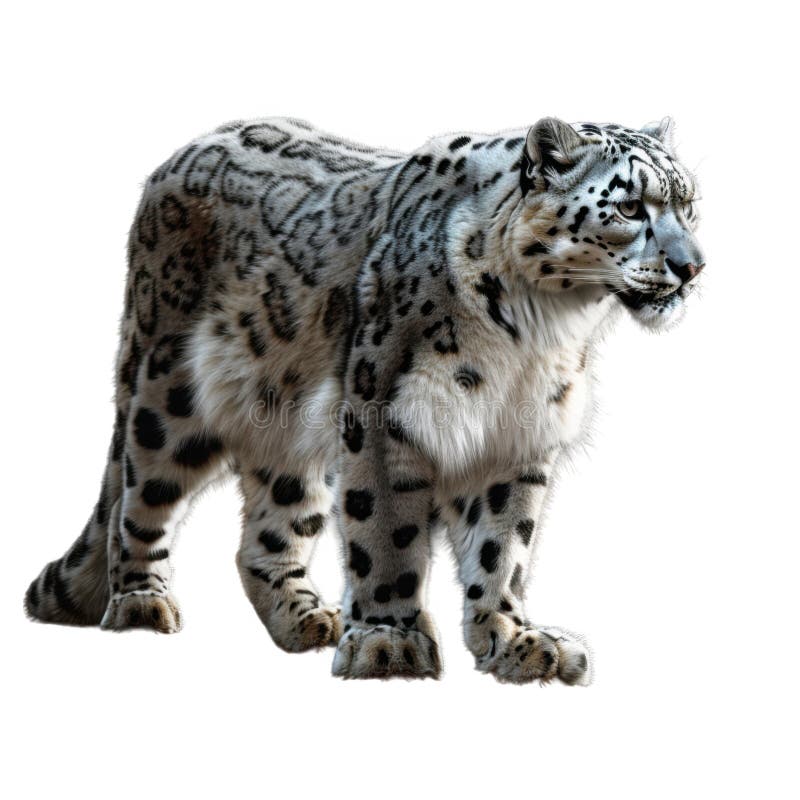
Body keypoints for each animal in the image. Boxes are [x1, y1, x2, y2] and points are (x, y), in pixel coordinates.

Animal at [24, 115, 703, 683]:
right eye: (629, 205)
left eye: (689, 204)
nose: (692, 266)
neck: (541, 331)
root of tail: (174, 160)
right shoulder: (388, 417)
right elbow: (387, 533)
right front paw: (388, 641)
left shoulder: (517, 440)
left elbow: (504, 547)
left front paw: (516, 640)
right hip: (169, 397)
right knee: (138, 499)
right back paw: (142, 603)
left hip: (288, 428)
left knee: (267, 532)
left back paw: (307, 618)